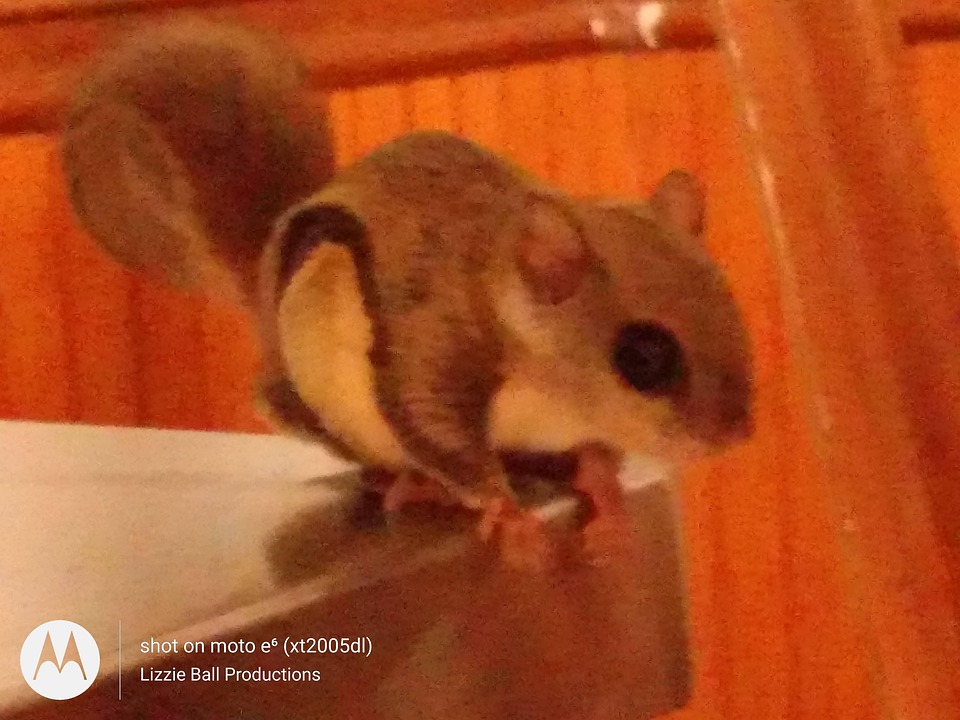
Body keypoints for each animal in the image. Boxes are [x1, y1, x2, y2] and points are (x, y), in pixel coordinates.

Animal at [61, 20, 753, 569]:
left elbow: (595, 457)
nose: (732, 438)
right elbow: (441, 434)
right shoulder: (435, 348)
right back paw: (416, 486)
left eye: (731, 309)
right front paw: (510, 517)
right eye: (643, 356)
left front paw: (606, 495)